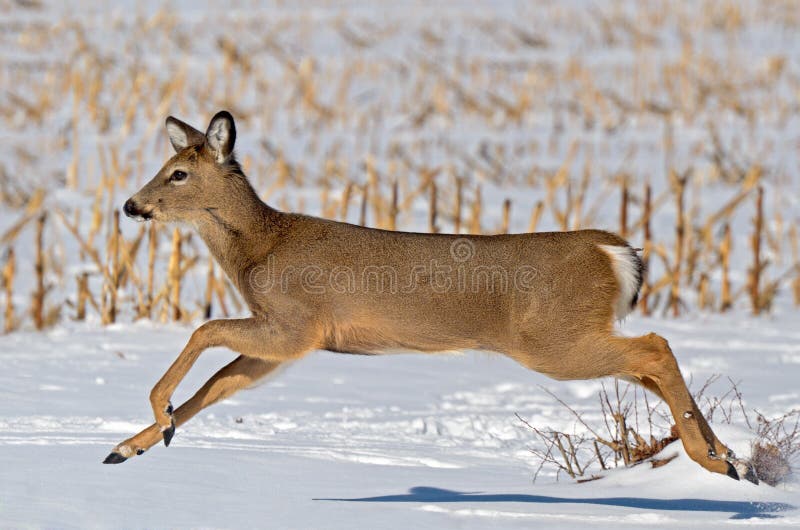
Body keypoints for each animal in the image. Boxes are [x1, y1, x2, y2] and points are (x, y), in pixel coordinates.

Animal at [106, 110, 757, 484]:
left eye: (178, 174)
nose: (131, 205)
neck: (263, 247)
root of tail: (614, 251)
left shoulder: (297, 325)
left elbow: (204, 330)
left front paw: (157, 413)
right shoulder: (286, 342)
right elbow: (220, 385)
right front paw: (133, 444)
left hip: (552, 339)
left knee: (655, 346)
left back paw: (715, 459)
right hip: (574, 335)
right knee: (651, 364)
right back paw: (733, 457)